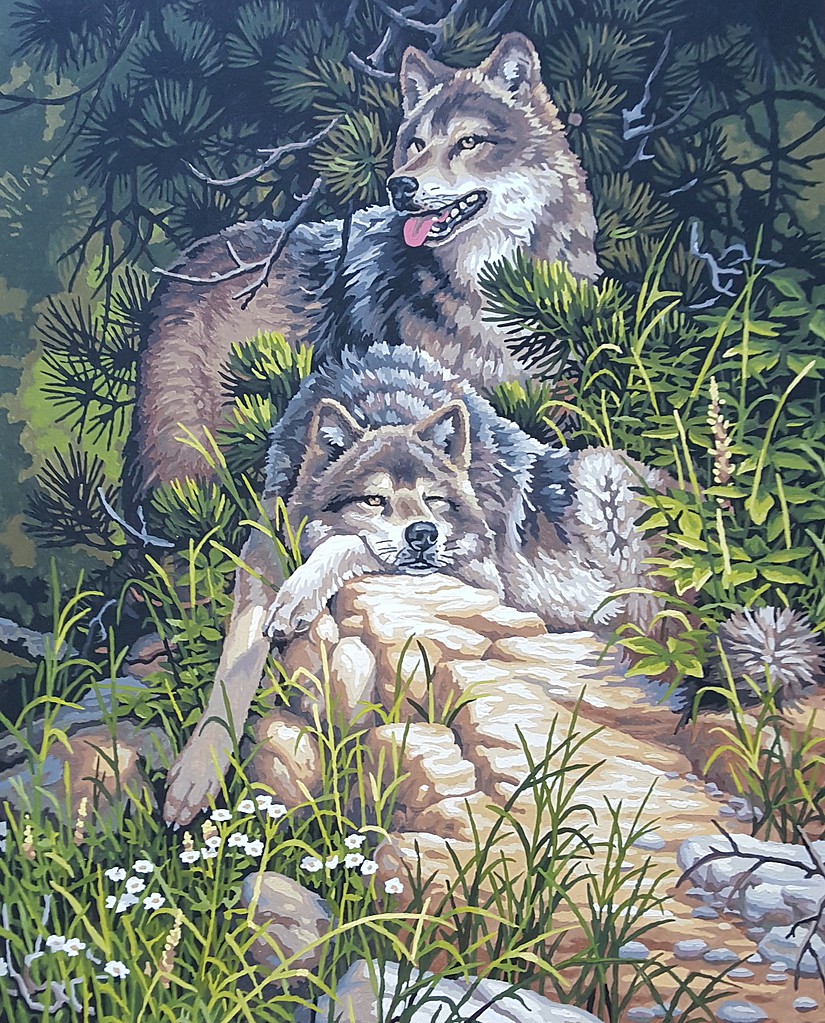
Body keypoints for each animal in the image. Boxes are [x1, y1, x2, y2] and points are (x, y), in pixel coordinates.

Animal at [162, 343, 666, 825]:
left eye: (435, 500)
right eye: (374, 500)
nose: (423, 534)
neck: (387, 408)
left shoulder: (480, 574)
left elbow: (348, 544)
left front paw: (298, 598)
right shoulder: (260, 551)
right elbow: (238, 656)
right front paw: (195, 775)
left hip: (603, 476)